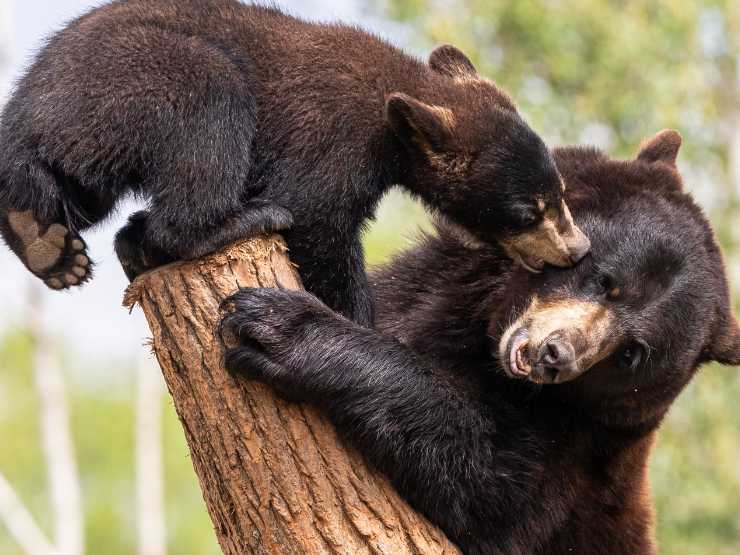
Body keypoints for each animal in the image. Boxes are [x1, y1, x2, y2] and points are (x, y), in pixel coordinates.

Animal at [0, 0, 589, 327]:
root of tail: (23, 109)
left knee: (67, 192)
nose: (576, 248)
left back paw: (50, 245)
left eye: (559, 192)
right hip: (141, 76)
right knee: (208, 105)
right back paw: (231, 221)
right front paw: (360, 320)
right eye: (528, 210)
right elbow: (317, 218)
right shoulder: (332, 139)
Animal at [220, 129, 740, 554]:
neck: (485, 330)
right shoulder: (423, 288)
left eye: (632, 354)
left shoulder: (577, 453)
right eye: (605, 281)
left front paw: (279, 327)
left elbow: (489, 488)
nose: (555, 355)